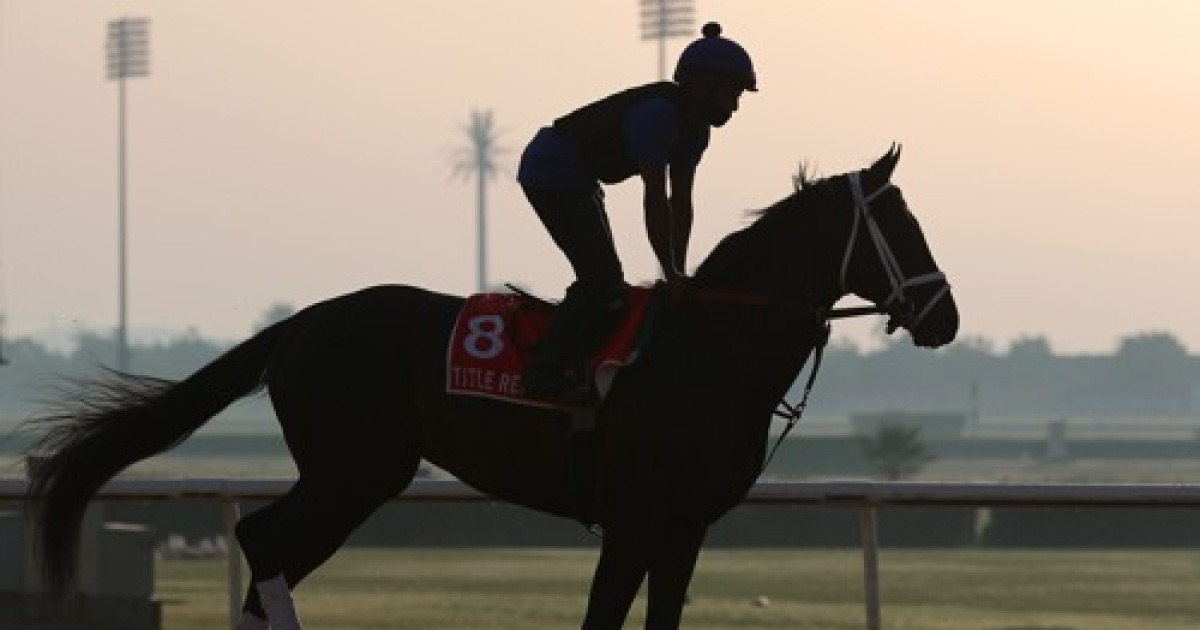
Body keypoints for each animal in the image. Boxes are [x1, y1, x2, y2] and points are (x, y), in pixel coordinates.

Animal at [22, 145, 957, 630]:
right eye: (902, 226)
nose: (945, 316)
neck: (708, 357)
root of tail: (301, 323)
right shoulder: (633, 521)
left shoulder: (685, 528)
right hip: (355, 470)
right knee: (261, 538)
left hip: (356, 473)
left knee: (268, 551)